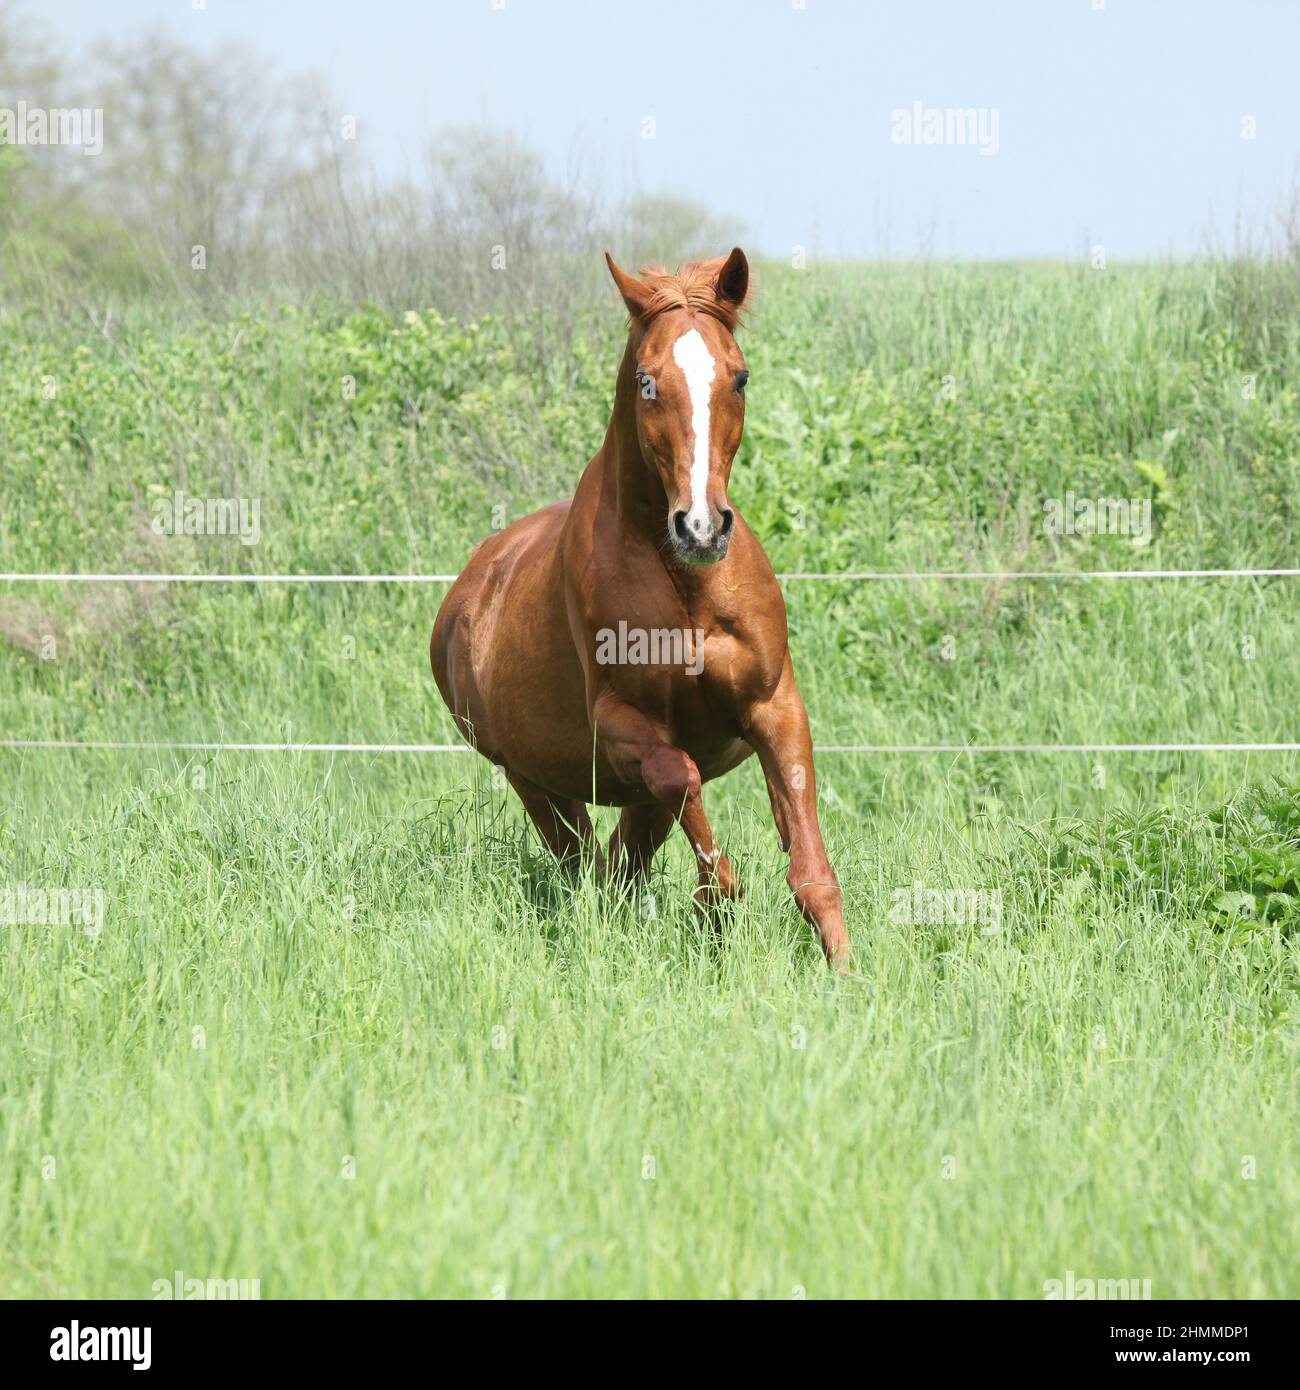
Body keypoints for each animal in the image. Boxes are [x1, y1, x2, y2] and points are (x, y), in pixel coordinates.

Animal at [431, 248, 849, 965]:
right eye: (648, 383)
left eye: (740, 377)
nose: (701, 527)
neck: (687, 586)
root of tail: (468, 592)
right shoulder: (624, 726)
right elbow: (684, 783)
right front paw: (716, 904)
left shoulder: (775, 708)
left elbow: (811, 869)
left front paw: (847, 972)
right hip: (534, 781)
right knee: (590, 865)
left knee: (619, 861)